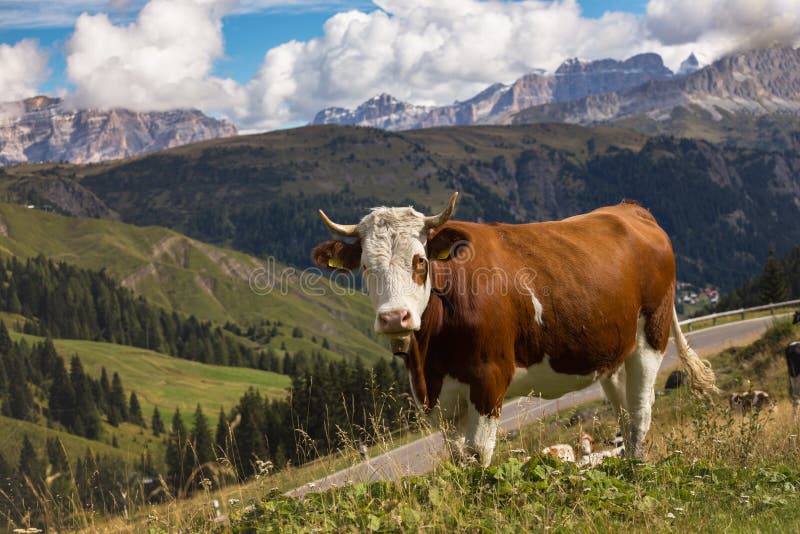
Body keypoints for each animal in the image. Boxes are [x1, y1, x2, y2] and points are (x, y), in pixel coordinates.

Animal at [311, 193, 718, 466]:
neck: (430, 360)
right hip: (615, 352)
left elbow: (478, 454)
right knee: (624, 414)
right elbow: (458, 458)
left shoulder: (489, 378)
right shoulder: (437, 399)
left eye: (420, 261)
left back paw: (636, 470)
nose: (395, 318)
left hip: (652, 334)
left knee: (640, 410)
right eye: (366, 267)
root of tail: (629, 208)